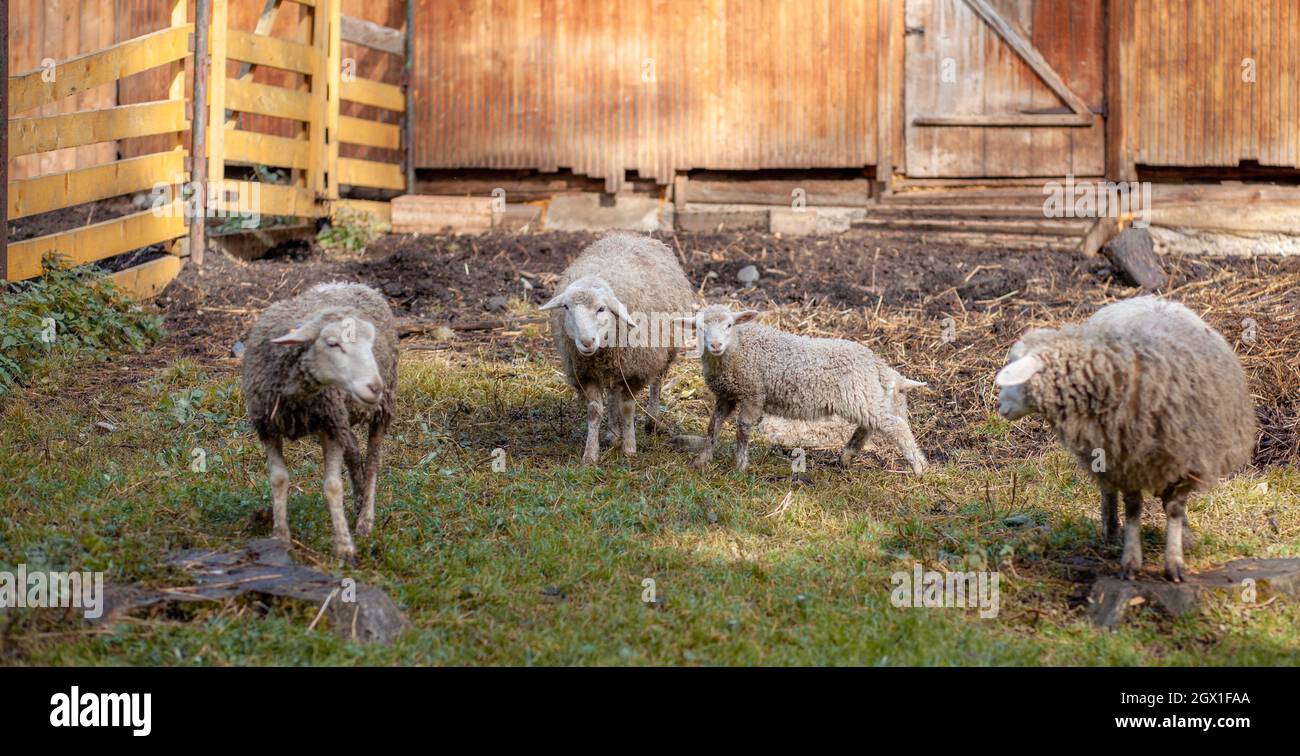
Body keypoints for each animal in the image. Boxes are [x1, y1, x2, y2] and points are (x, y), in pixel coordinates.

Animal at [241, 281, 399, 562]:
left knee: (372, 461)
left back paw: (365, 521)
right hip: (343, 415)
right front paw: (280, 537)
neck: (297, 395)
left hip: (382, 408)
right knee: (354, 452)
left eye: (370, 344)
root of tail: (353, 283)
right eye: (333, 344)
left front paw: (344, 546)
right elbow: (278, 479)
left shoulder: (330, 427)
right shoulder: (268, 427)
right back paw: (358, 502)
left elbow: (333, 486)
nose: (374, 387)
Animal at [541, 232, 696, 464]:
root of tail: (635, 236)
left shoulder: (635, 370)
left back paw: (651, 421)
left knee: (656, 383)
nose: (587, 342)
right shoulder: (586, 372)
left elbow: (628, 407)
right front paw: (590, 454)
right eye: (566, 307)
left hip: (663, 351)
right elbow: (594, 411)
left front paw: (629, 448)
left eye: (601, 308)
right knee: (613, 392)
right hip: (614, 365)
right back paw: (612, 433)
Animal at [675, 305, 929, 474]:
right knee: (870, 425)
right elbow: (713, 425)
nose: (716, 345)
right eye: (699, 328)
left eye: (729, 325)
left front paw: (740, 465)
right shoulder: (726, 395)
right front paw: (703, 459)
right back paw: (847, 456)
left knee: (895, 426)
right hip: (864, 396)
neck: (737, 349)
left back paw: (918, 467)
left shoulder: (754, 393)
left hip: (858, 395)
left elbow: (743, 429)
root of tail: (875, 360)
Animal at [994, 295, 1255, 582]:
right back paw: (1110, 530)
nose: (999, 407)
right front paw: (1131, 561)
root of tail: (1143, 298)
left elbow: (1174, 509)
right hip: (1104, 453)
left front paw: (1175, 560)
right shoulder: (1126, 461)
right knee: (1107, 491)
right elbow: (1133, 509)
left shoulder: (1187, 458)